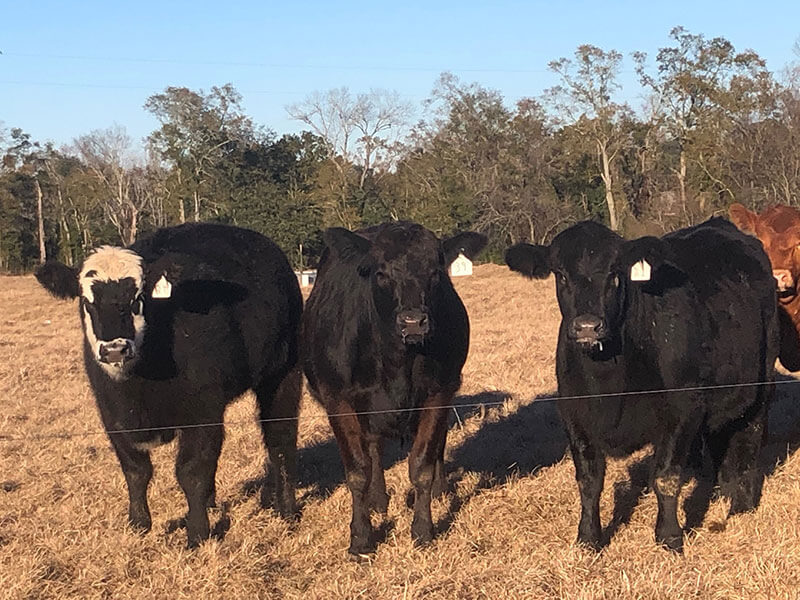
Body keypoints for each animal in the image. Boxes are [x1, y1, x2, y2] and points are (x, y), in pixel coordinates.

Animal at [34, 222, 303, 547]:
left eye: (137, 299)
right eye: (87, 303)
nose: (114, 349)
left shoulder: (203, 410)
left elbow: (192, 472)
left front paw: (198, 533)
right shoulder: (111, 415)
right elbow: (136, 470)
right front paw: (139, 524)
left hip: (283, 373)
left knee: (279, 439)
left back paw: (285, 508)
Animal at [301, 221, 487, 556]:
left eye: (435, 271)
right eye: (381, 272)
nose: (413, 322)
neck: (398, 361)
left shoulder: (438, 393)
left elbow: (422, 465)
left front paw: (423, 530)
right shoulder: (338, 399)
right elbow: (357, 471)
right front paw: (361, 537)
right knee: (374, 450)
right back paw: (378, 500)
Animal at [505, 218, 778, 552]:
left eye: (615, 274)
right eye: (560, 274)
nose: (587, 326)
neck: (609, 384)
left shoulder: (682, 407)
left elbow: (666, 476)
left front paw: (670, 536)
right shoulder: (573, 413)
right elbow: (589, 480)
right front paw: (588, 538)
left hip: (761, 383)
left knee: (749, 438)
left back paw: (743, 505)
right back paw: (723, 492)